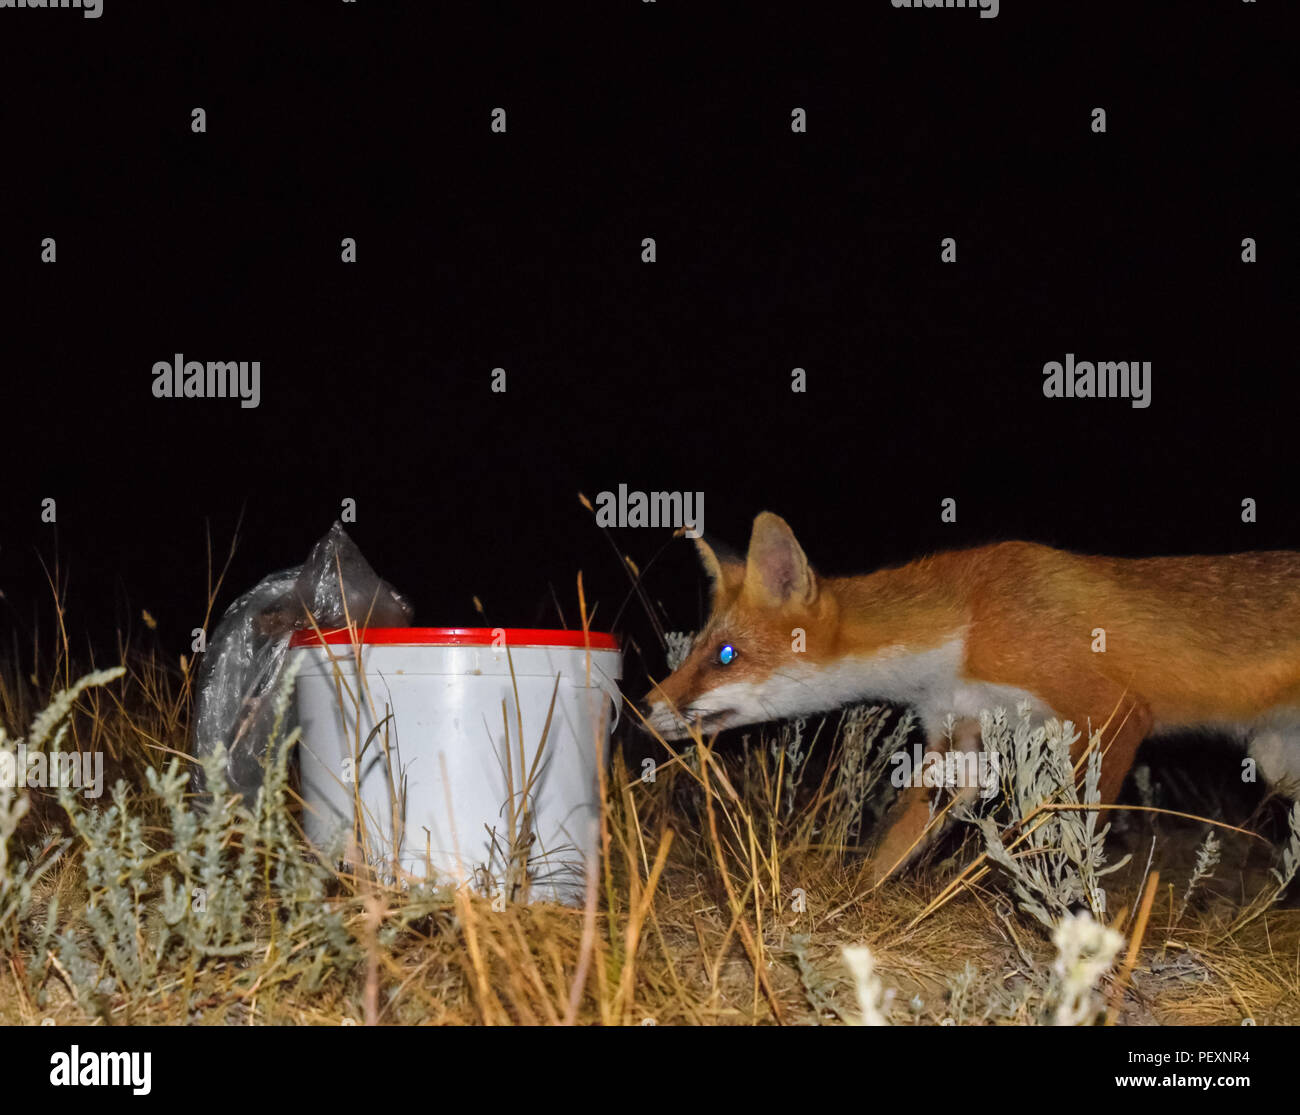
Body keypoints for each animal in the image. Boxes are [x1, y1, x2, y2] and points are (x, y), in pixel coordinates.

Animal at [643, 512, 1300, 880]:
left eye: (724, 656)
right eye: (699, 649)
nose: (646, 708)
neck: (966, 626)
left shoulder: (1112, 712)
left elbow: (1064, 844)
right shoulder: (956, 739)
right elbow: (889, 855)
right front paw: (855, 914)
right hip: (1278, 765)